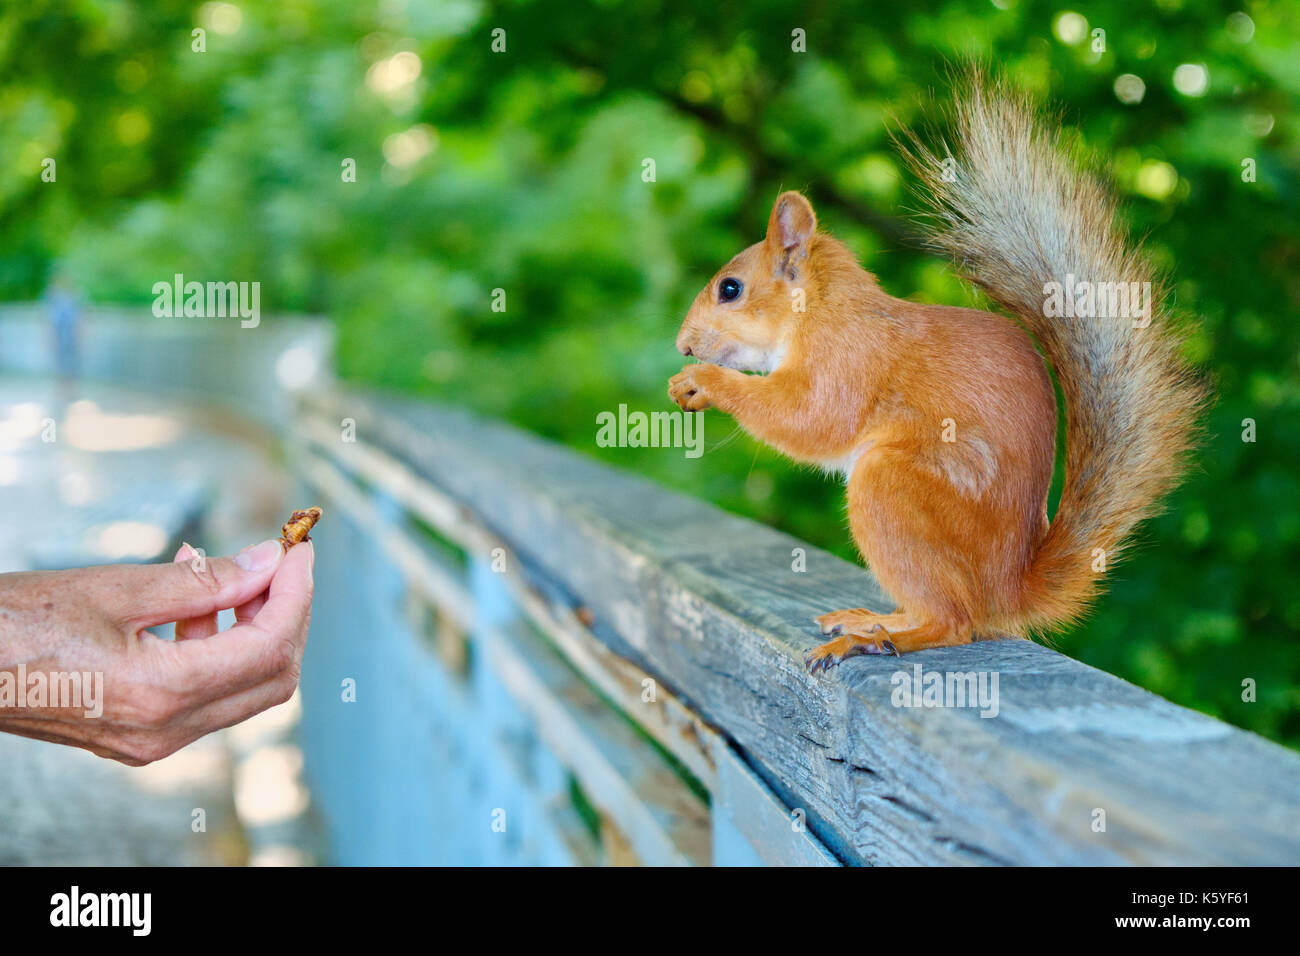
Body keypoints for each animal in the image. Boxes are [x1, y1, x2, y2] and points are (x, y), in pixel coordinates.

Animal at [668, 74, 1205, 671]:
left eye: (730, 289)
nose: (683, 344)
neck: (822, 309)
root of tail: (1008, 589)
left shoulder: (848, 361)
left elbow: (812, 420)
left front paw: (704, 383)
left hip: (889, 487)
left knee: (954, 622)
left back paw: (872, 640)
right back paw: (874, 620)